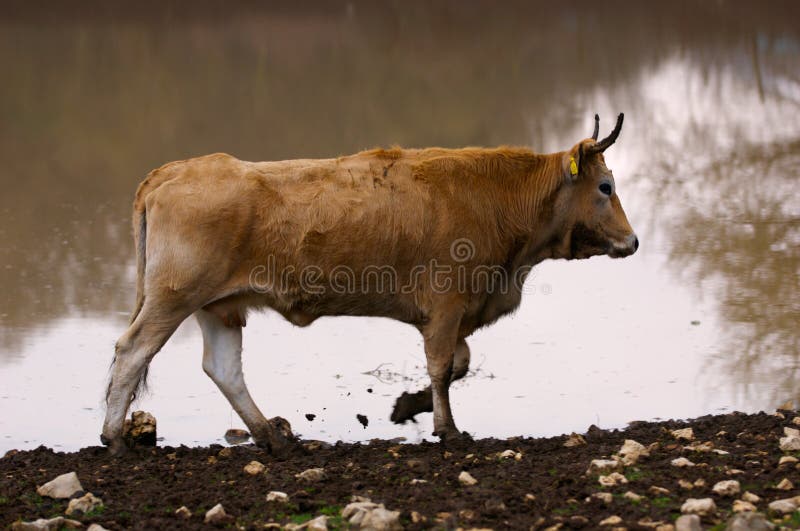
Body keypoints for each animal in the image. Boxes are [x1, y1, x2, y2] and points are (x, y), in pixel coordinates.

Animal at [102, 114, 637, 455]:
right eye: (605, 187)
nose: (633, 241)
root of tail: (175, 169)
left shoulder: (451, 311)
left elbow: (459, 364)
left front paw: (406, 407)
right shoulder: (447, 303)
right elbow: (443, 367)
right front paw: (447, 428)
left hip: (220, 306)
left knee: (224, 369)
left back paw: (271, 437)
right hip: (173, 297)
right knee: (133, 352)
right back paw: (114, 438)